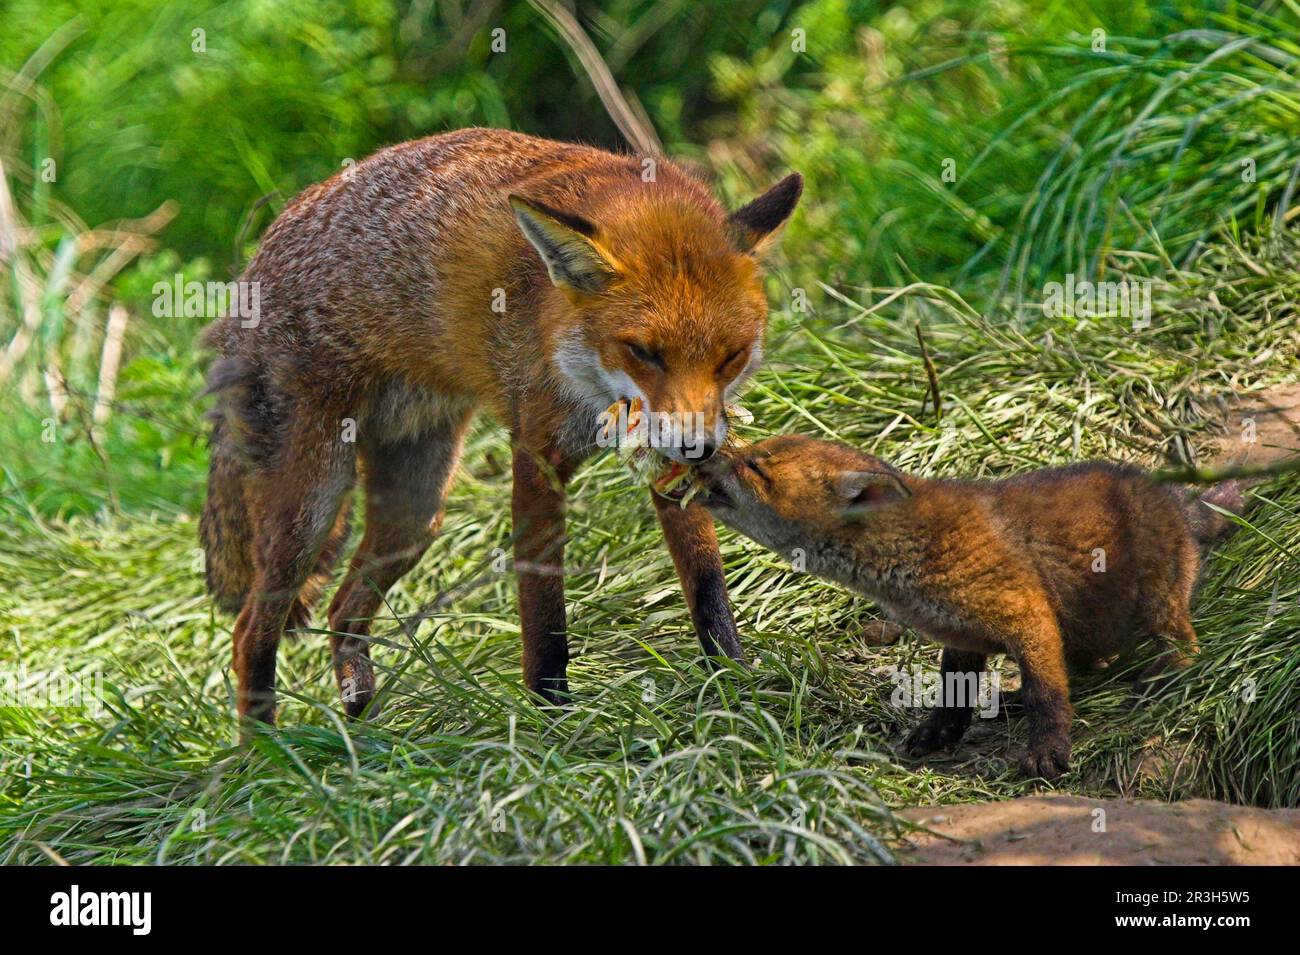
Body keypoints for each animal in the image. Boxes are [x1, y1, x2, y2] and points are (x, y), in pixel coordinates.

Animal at [200, 127, 802, 732]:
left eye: (730, 356)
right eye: (643, 352)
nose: (696, 445)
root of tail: (250, 271)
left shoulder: (664, 462)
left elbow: (707, 588)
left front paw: (734, 687)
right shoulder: (537, 459)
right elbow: (545, 616)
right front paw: (552, 722)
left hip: (416, 511)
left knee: (341, 610)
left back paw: (366, 730)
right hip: (313, 507)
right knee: (249, 633)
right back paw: (267, 749)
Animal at [694, 435, 1248, 779]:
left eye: (755, 464)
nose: (699, 453)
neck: (907, 562)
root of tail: (1177, 501)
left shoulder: (1027, 614)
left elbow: (1048, 696)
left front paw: (1048, 751)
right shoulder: (961, 636)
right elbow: (953, 697)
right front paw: (937, 734)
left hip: (1159, 601)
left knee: (1183, 645)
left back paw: (1165, 676)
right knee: (1087, 668)